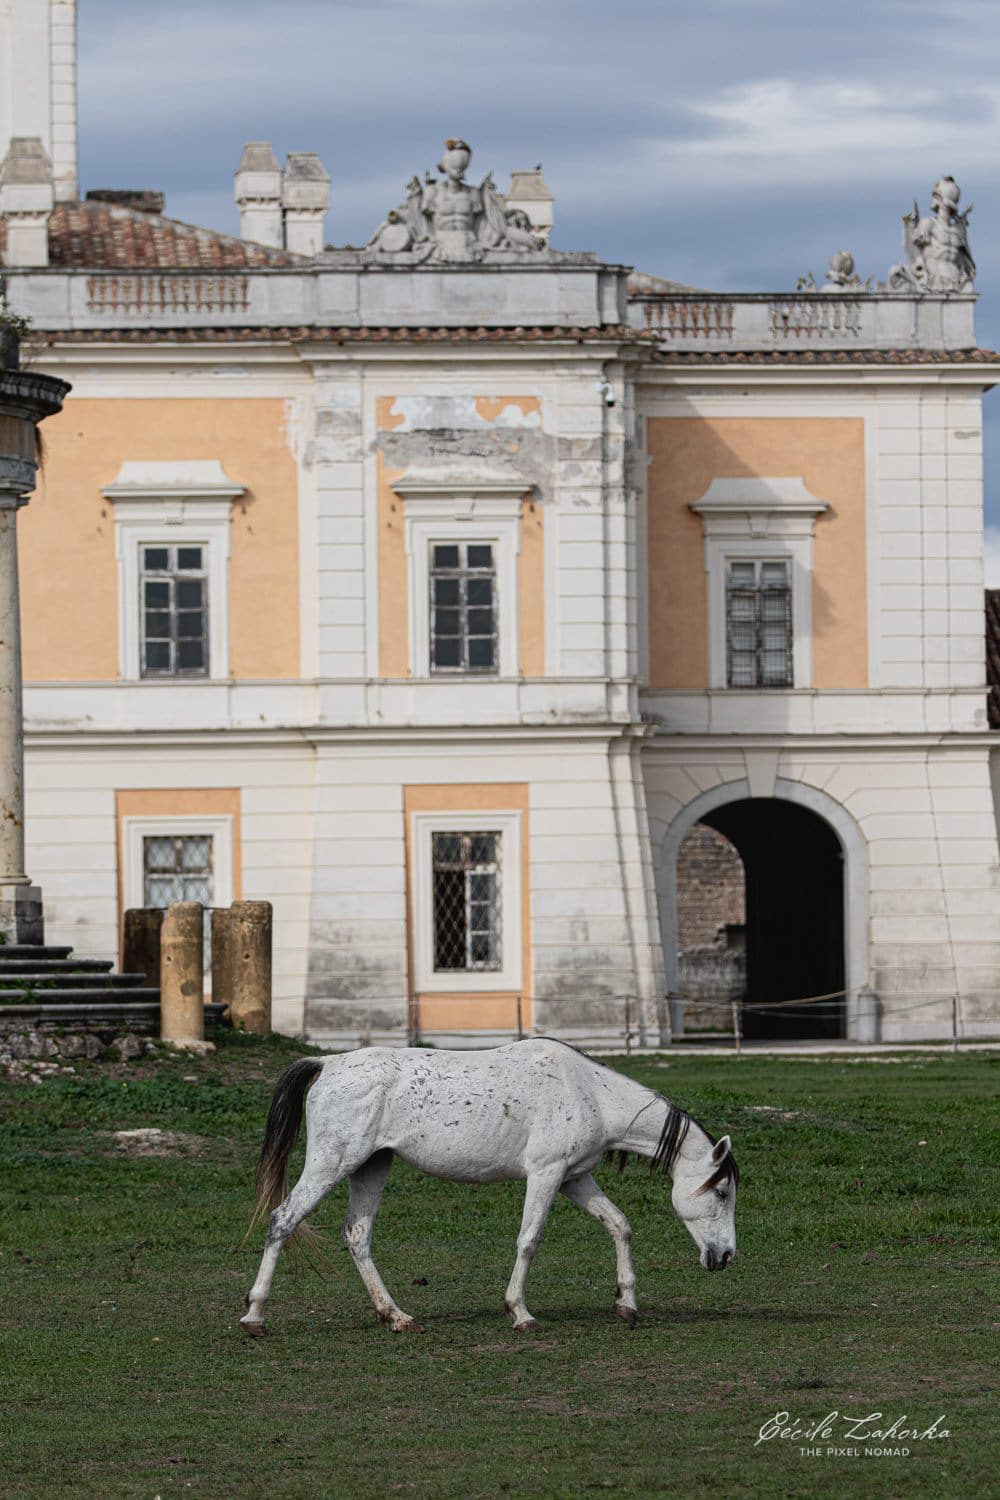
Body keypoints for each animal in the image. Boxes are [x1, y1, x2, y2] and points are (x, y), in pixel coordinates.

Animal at [240, 1037, 738, 1336]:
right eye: (721, 1192)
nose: (726, 1256)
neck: (590, 1093)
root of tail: (327, 1063)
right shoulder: (546, 1174)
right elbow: (529, 1239)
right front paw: (519, 1312)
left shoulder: (574, 1178)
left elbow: (619, 1225)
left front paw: (627, 1305)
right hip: (332, 1163)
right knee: (283, 1220)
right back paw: (255, 1316)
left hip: (371, 1167)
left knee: (358, 1236)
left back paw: (396, 1316)